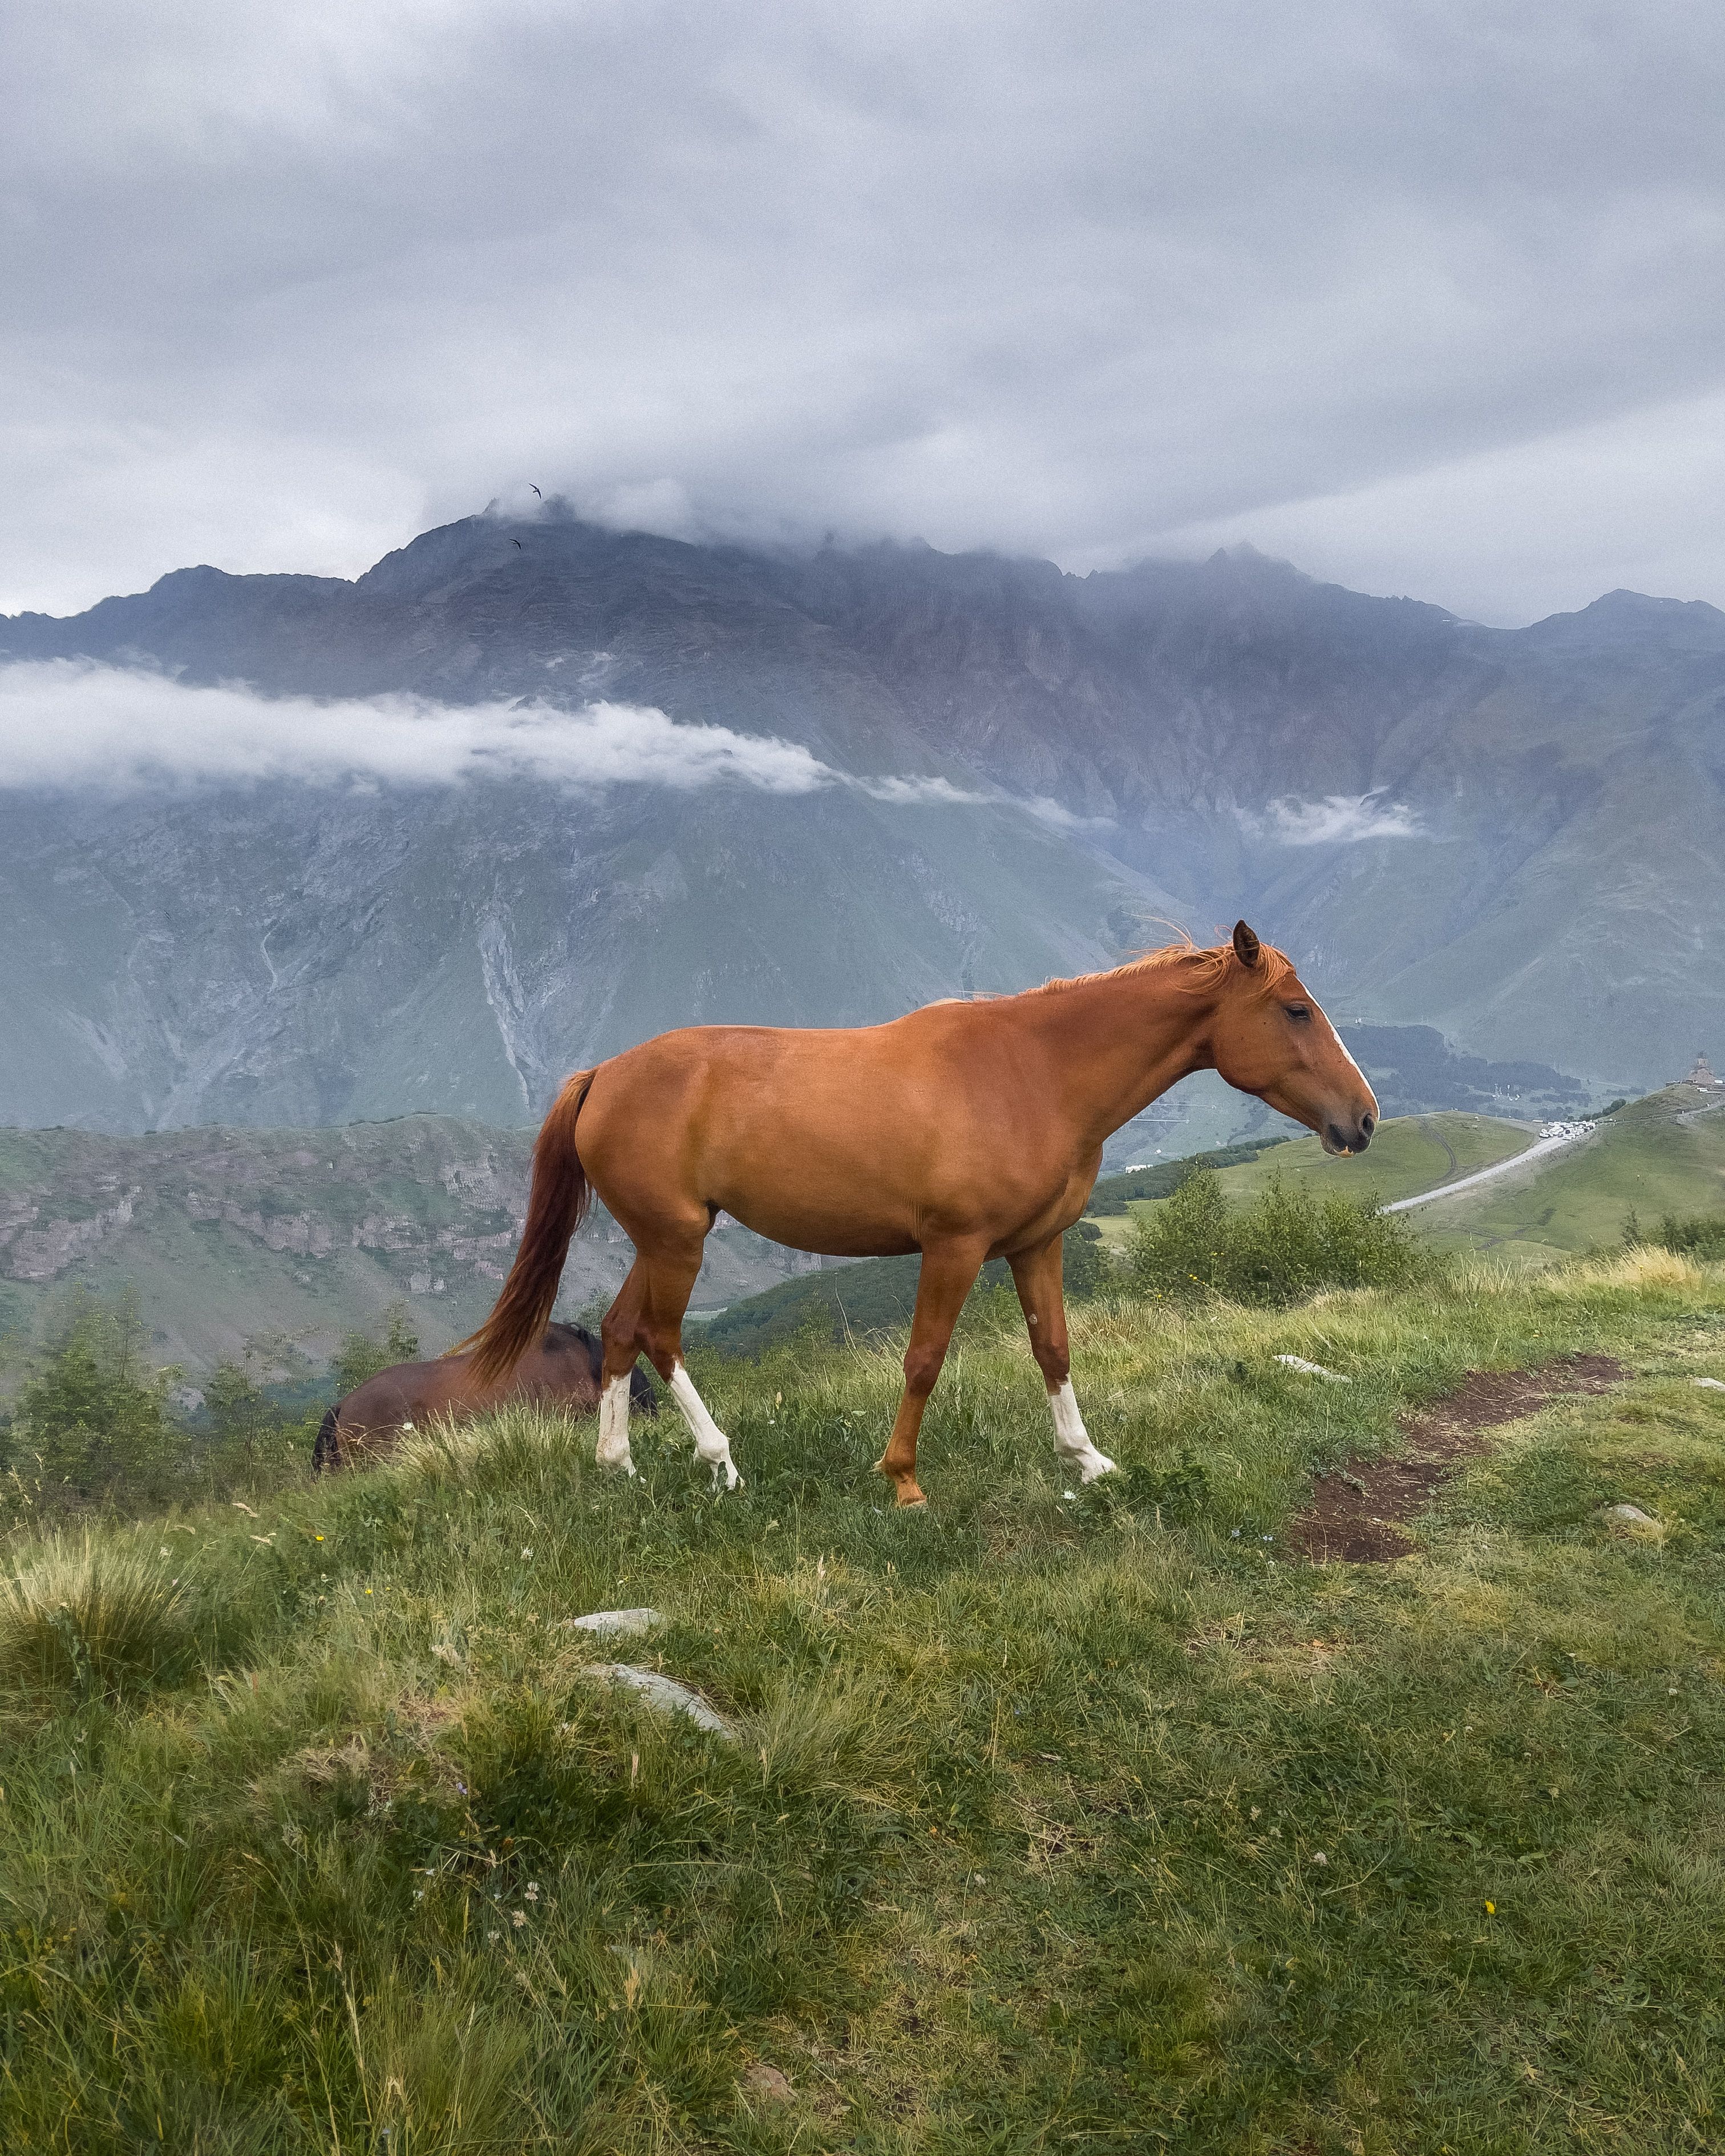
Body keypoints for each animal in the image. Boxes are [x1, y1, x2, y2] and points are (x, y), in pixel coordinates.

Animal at [459, 923, 1377, 1506]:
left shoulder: (1037, 1246)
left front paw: (1086, 1460)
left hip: (661, 1240)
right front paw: (902, 1479)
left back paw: (618, 1465)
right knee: (660, 1335)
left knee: (619, 1331)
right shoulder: (955, 1248)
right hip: (678, 1241)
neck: (1035, 1071)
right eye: (1296, 1009)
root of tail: (603, 1075)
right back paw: (720, 1463)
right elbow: (925, 1360)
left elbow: (1054, 1349)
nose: (1363, 1120)